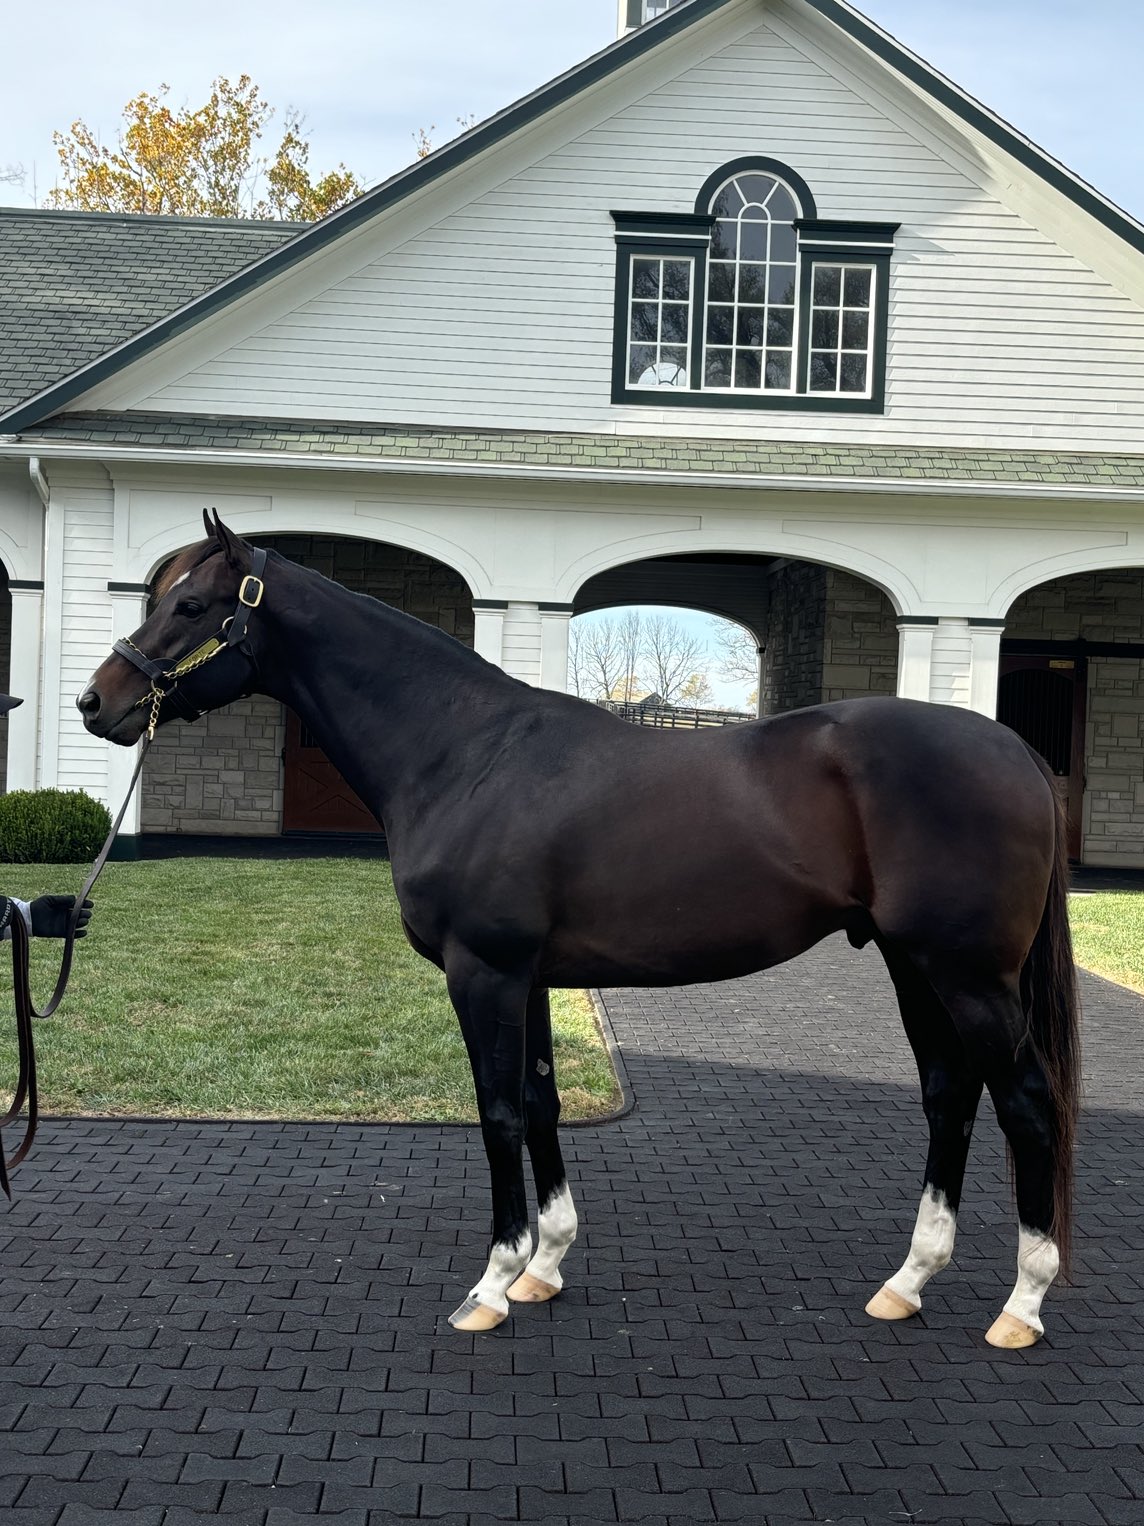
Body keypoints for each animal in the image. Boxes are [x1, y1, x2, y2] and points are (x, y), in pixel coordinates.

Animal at [78, 511, 1080, 1348]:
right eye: (157, 595)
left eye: (192, 604)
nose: (98, 702)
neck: (462, 753)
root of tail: (1012, 749)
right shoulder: (526, 978)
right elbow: (542, 1103)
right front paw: (545, 1265)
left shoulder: (481, 972)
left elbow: (497, 1112)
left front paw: (489, 1286)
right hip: (917, 967)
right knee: (950, 1096)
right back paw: (907, 1282)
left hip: (969, 976)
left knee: (1027, 1104)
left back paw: (1022, 1305)